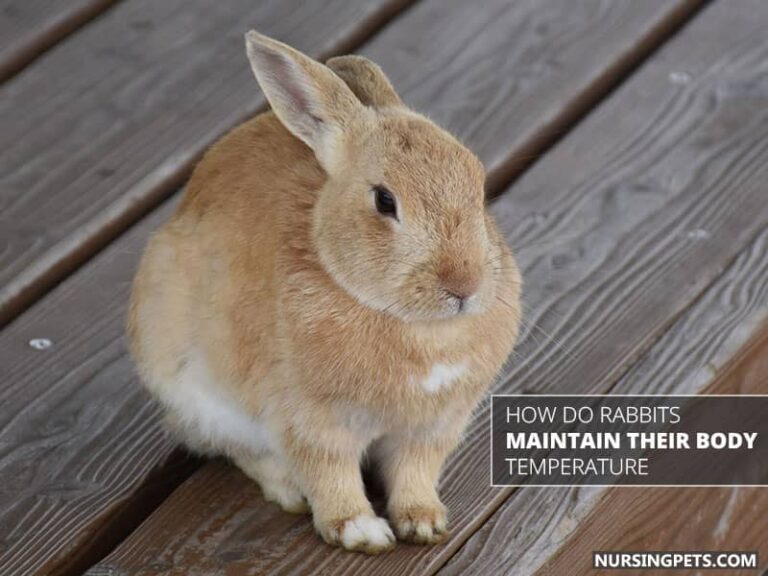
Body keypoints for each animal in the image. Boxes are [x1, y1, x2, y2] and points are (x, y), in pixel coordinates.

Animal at [127, 30, 521, 554]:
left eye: (478, 184)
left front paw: (423, 522)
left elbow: (414, 473)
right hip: (194, 394)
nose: (464, 285)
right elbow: (330, 474)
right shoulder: (310, 421)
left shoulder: (431, 428)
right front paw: (361, 532)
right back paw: (290, 490)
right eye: (384, 201)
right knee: (243, 451)